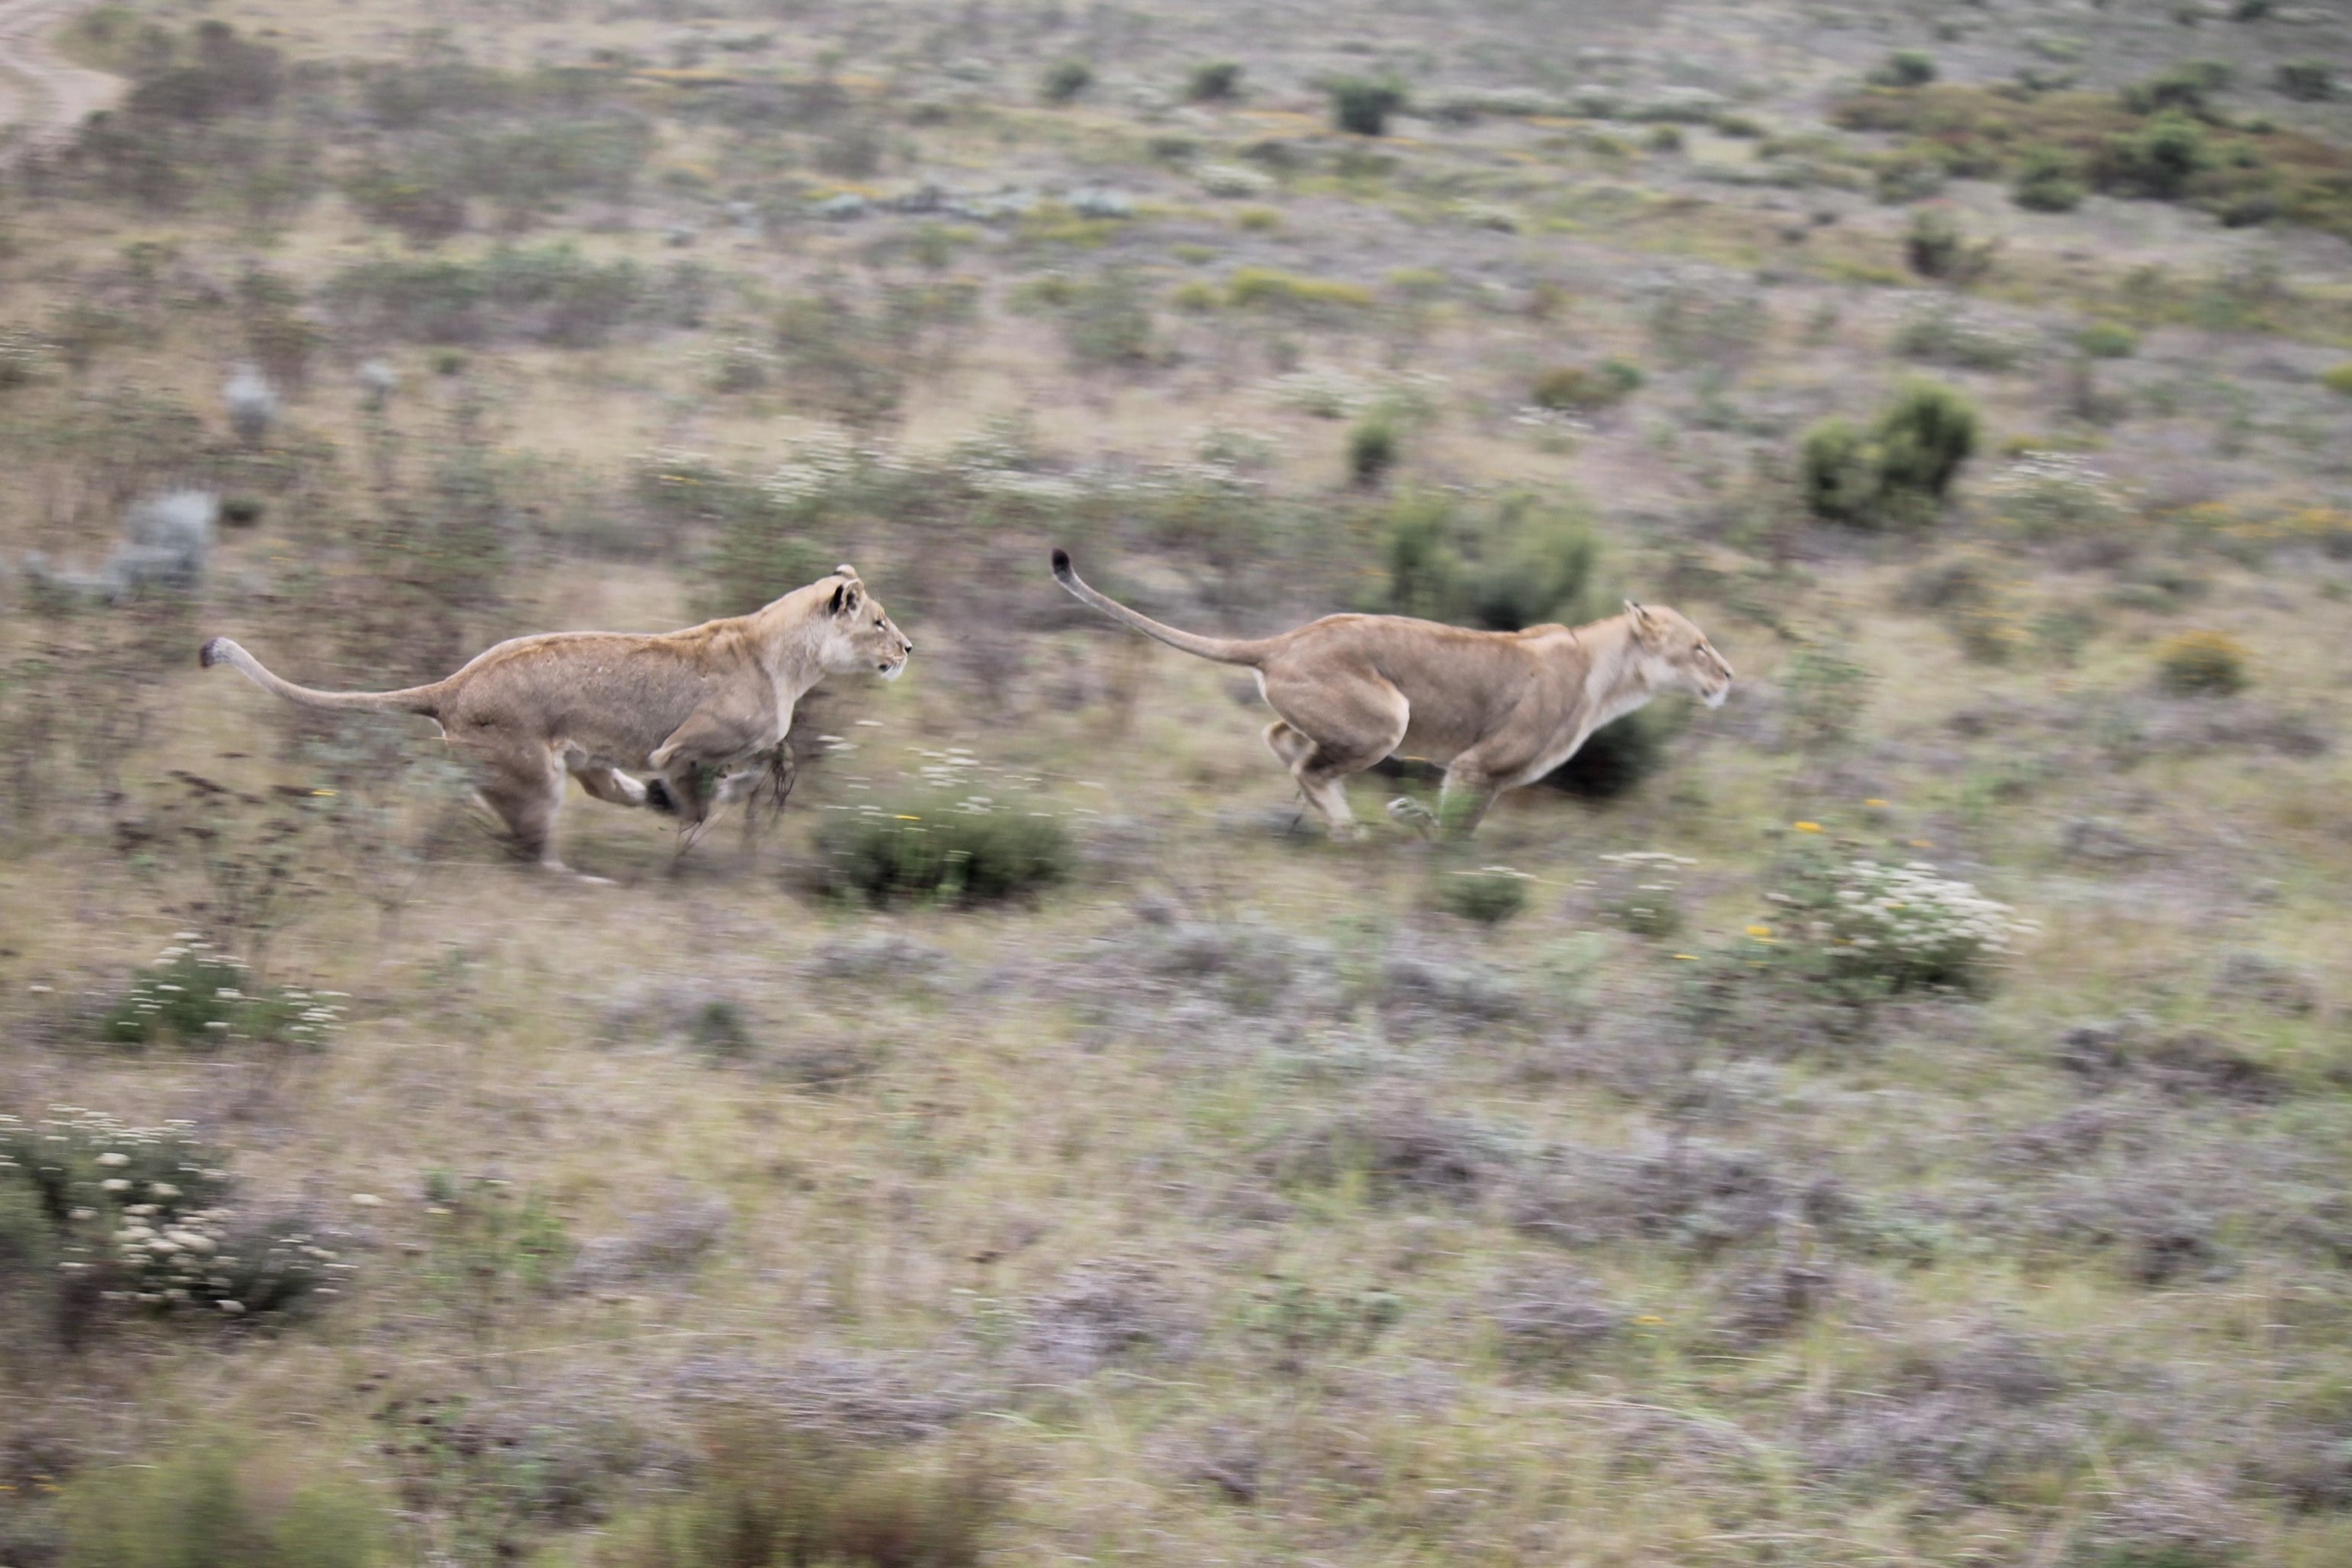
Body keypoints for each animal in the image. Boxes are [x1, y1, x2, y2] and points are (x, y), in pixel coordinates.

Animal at [200, 565, 912, 878]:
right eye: (879, 620)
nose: (908, 648)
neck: (792, 658)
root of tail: (452, 685)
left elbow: (756, 768)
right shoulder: (679, 747)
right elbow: (706, 792)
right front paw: (695, 825)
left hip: (575, 756)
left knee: (602, 789)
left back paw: (638, 805)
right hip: (534, 780)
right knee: (537, 858)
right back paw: (591, 877)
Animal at [1050, 548, 1730, 839]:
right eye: (1699, 646)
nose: (1728, 676)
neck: (1609, 674)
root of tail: (1282, 642)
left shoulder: (1484, 773)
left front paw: (1411, 815)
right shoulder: (1479, 765)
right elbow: (1457, 831)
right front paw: (1422, 831)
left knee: (1280, 738)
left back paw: (1338, 818)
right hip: (1391, 715)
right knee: (1307, 764)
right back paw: (1349, 827)